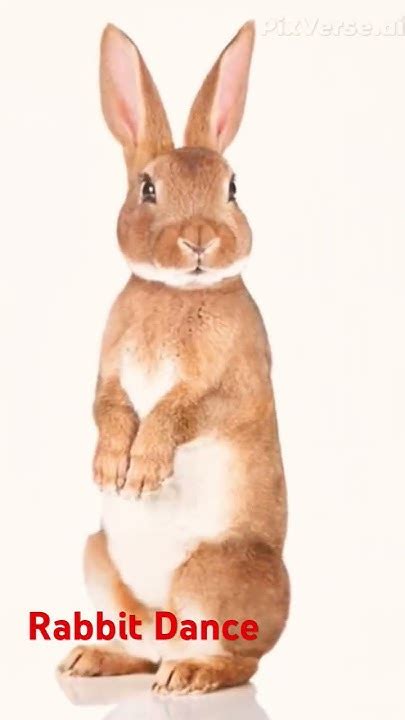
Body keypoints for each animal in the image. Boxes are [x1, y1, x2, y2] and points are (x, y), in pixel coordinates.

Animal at [58, 21, 289, 695]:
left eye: (232, 188)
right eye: (148, 188)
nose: (200, 239)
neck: (176, 292)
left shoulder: (232, 384)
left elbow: (182, 410)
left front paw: (141, 472)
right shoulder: (108, 372)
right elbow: (108, 407)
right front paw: (112, 467)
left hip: (212, 576)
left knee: (238, 660)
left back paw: (188, 675)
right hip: (99, 562)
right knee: (140, 647)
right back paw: (92, 660)